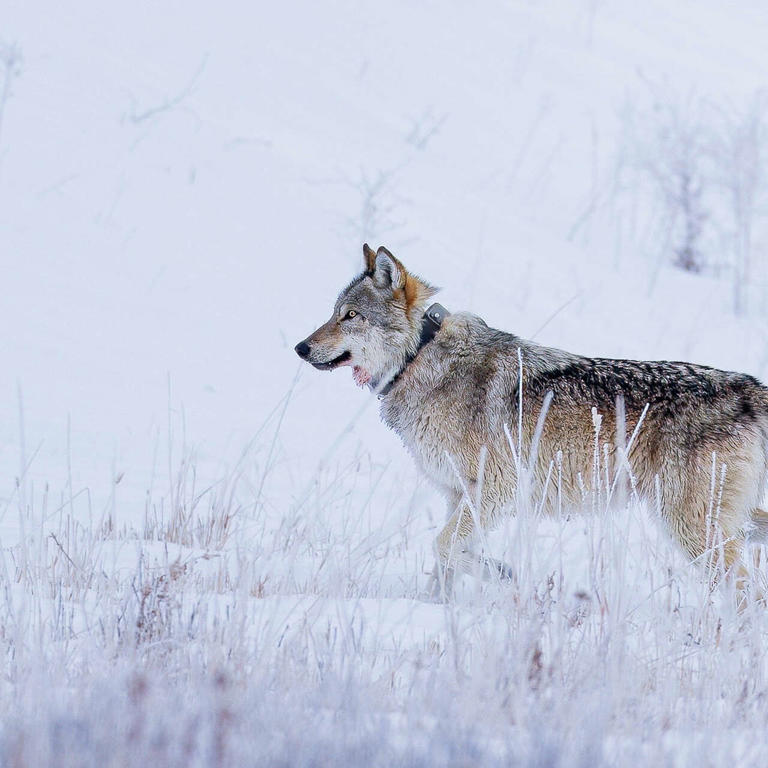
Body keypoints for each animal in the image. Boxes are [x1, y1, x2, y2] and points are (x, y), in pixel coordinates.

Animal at [295, 244, 768, 598]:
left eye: (351, 316)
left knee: (748, 593)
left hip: (693, 530)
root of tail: (751, 388)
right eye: (334, 312)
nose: (300, 347)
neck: (419, 357)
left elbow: (444, 546)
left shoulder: (495, 488)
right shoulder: (457, 495)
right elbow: (444, 563)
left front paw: (501, 573)